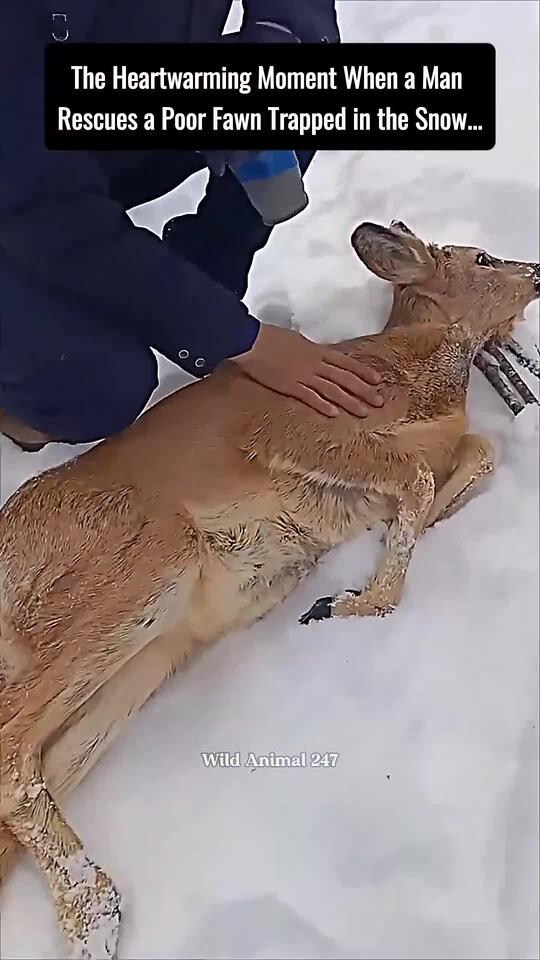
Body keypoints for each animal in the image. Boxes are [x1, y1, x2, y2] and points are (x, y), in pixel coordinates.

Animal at [1, 219, 539, 960]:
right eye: (481, 258)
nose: (538, 272)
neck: (419, 366)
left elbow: (474, 457)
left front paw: (346, 592)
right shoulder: (295, 427)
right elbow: (418, 476)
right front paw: (356, 601)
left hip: (150, 661)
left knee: (36, 766)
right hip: (145, 561)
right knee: (11, 748)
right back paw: (97, 917)